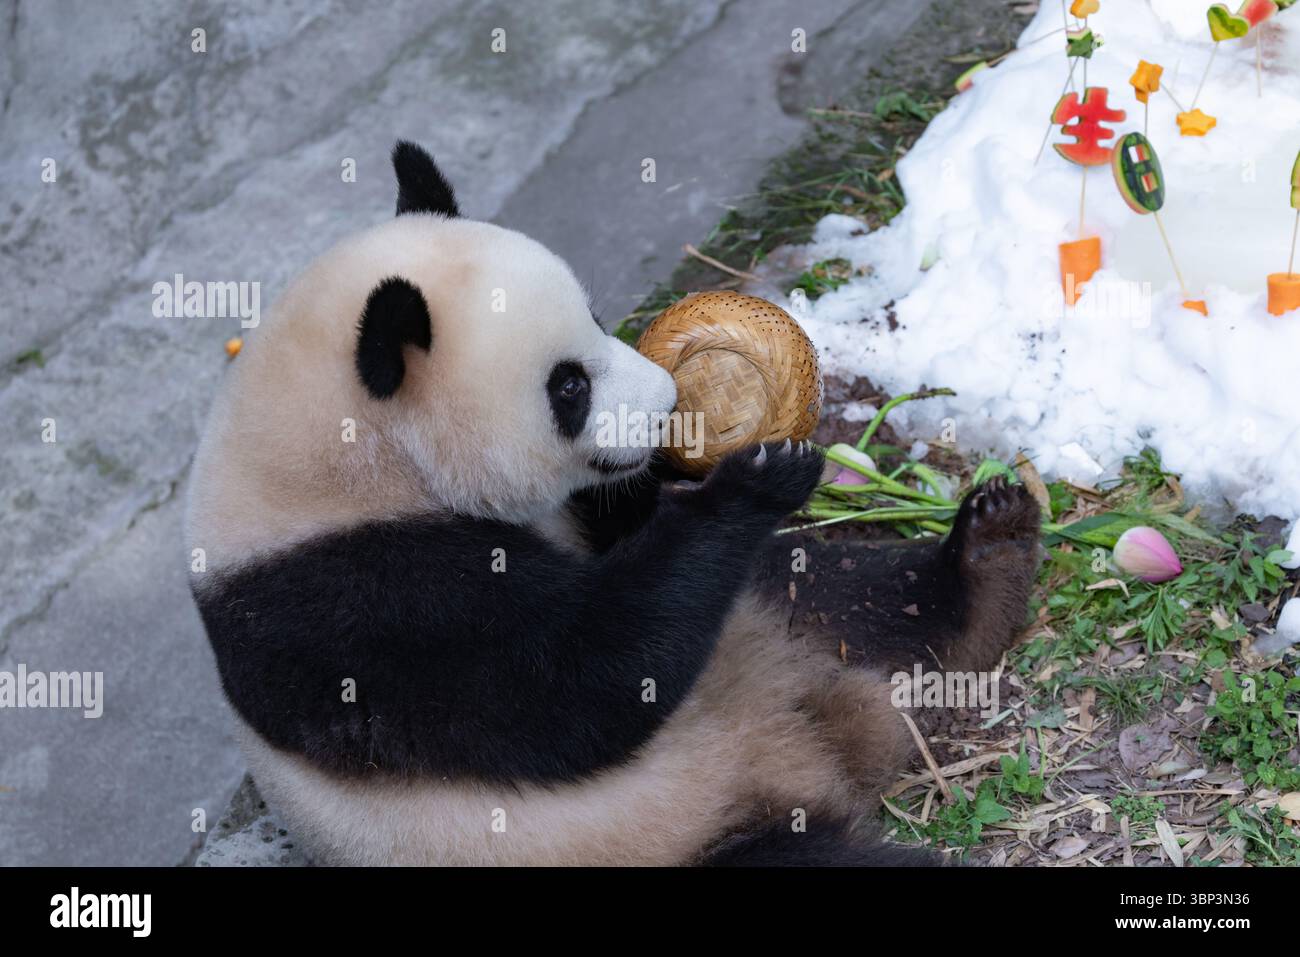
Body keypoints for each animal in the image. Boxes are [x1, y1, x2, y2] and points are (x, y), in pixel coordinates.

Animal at [186, 141, 1042, 866]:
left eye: (599, 318)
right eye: (568, 386)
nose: (667, 407)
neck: (340, 459)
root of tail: (819, 734)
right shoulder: (355, 607)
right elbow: (578, 681)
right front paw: (755, 478)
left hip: (767, 622)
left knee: (833, 588)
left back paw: (990, 554)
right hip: (671, 835)